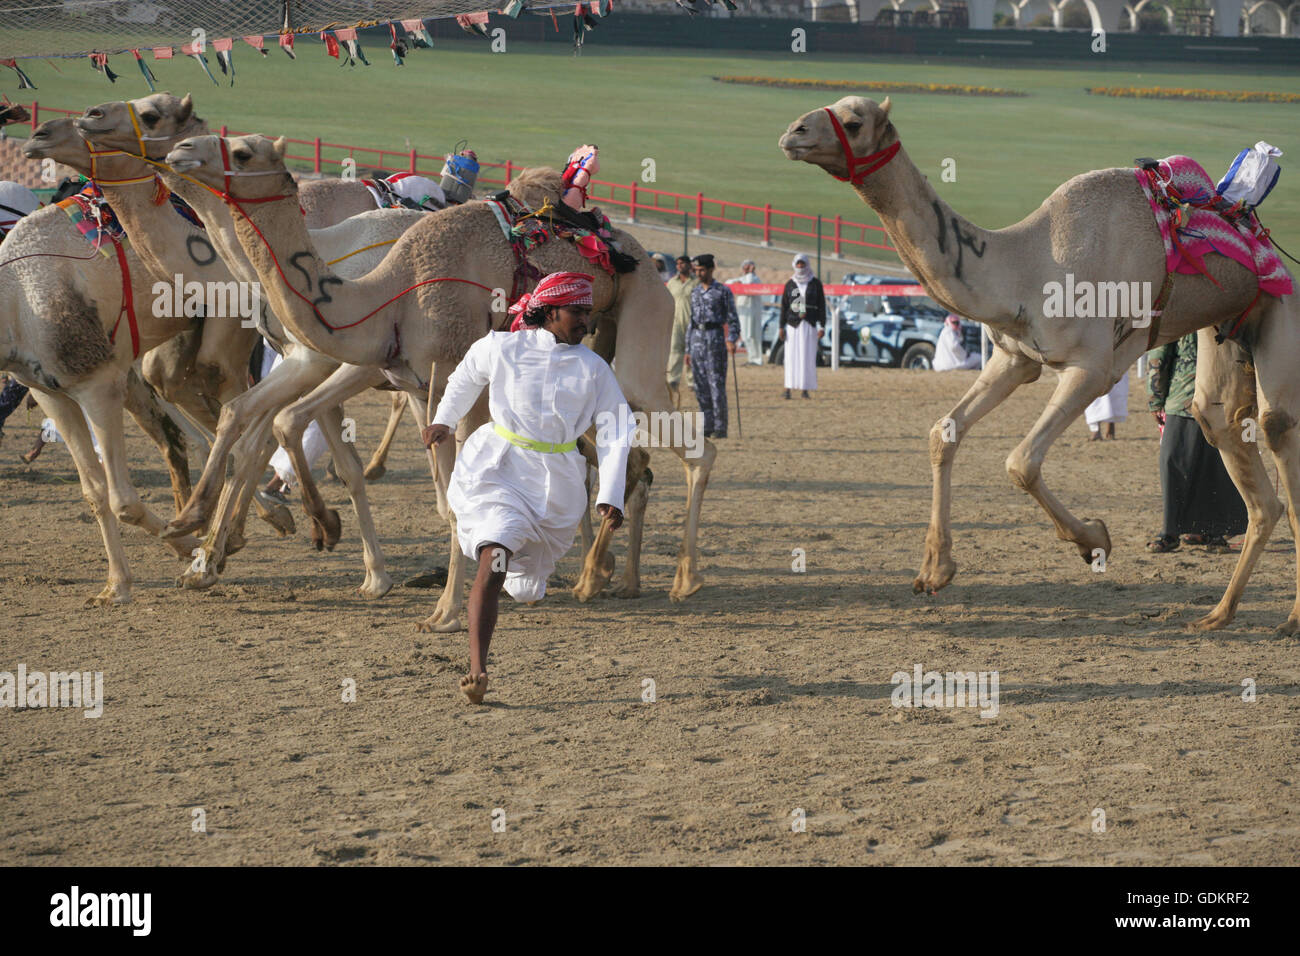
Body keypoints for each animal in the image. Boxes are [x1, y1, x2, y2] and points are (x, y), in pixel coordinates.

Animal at [162, 132, 713, 631]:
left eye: (241, 152)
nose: (177, 152)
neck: (390, 290)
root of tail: (632, 249)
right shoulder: (417, 384)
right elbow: (442, 497)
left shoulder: (438, 373)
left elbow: (453, 501)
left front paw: (444, 612)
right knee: (623, 459)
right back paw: (604, 577)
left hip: (643, 320)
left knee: (689, 447)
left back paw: (678, 580)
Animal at [781, 96, 1300, 637]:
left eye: (854, 121)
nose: (793, 133)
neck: (1027, 266)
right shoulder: (1015, 358)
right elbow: (943, 431)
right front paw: (934, 571)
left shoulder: (1093, 367)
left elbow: (1021, 462)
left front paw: (1095, 541)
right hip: (1226, 324)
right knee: (1226, 435)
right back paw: (1218, 613)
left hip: (1280, 304)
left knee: (1275, 425)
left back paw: (1288, 619)